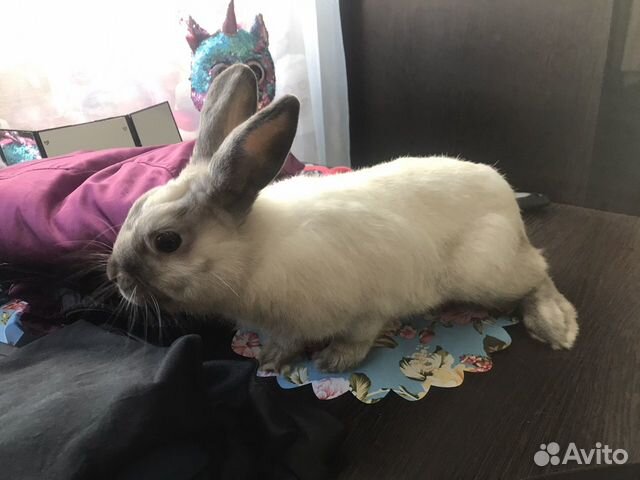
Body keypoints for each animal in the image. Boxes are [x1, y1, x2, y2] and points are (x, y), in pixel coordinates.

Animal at [107, 64, 578, 373]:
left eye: (167, 241)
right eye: (134, 206)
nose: (115, 275)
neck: (253, 254)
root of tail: (506, 197)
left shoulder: (368, 304)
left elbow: (360, 335)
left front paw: (335, 361)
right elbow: (287, 341)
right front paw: (272, 359)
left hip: (485, 271)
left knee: (539, 274)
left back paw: (556, 324)